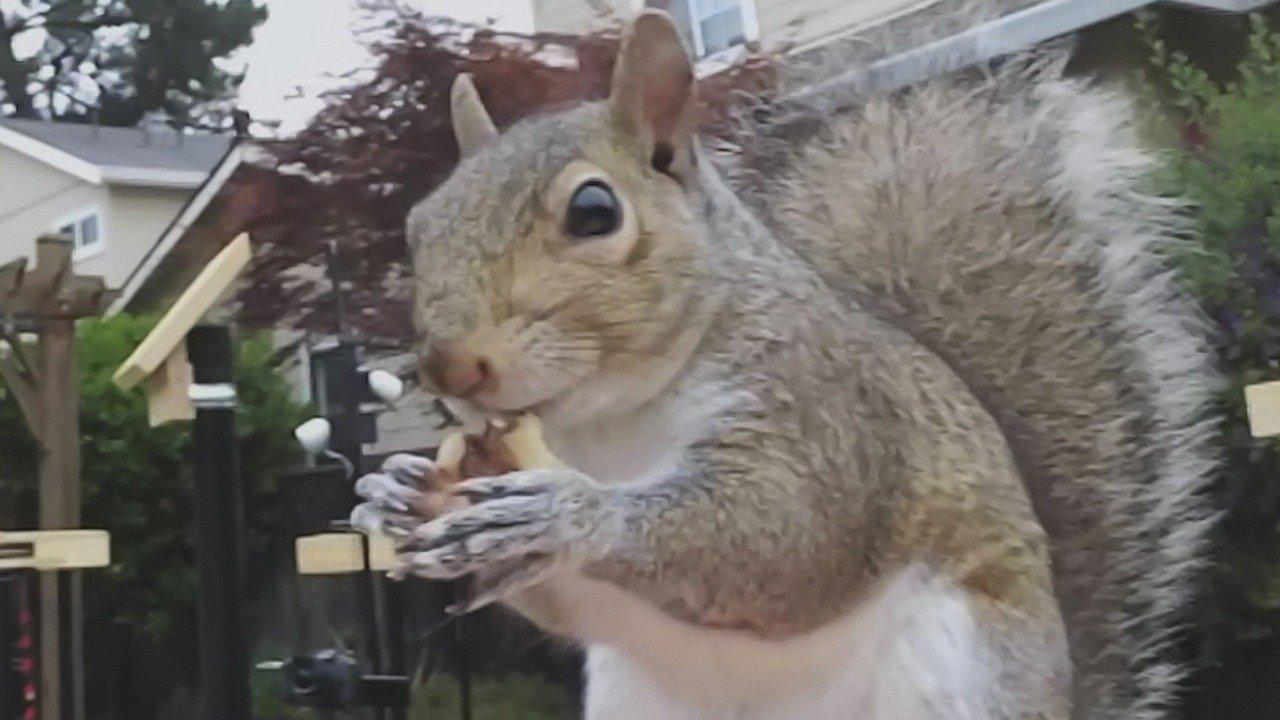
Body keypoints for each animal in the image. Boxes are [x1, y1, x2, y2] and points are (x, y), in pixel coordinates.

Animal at [349, 9, 1219, 720]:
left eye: (594, 212)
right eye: (419, 224)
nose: (451, 369)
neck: (610, 424)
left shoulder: (829, 411)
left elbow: (788, 536)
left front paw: (571, 514)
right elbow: (561, 605)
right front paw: (393, 492)